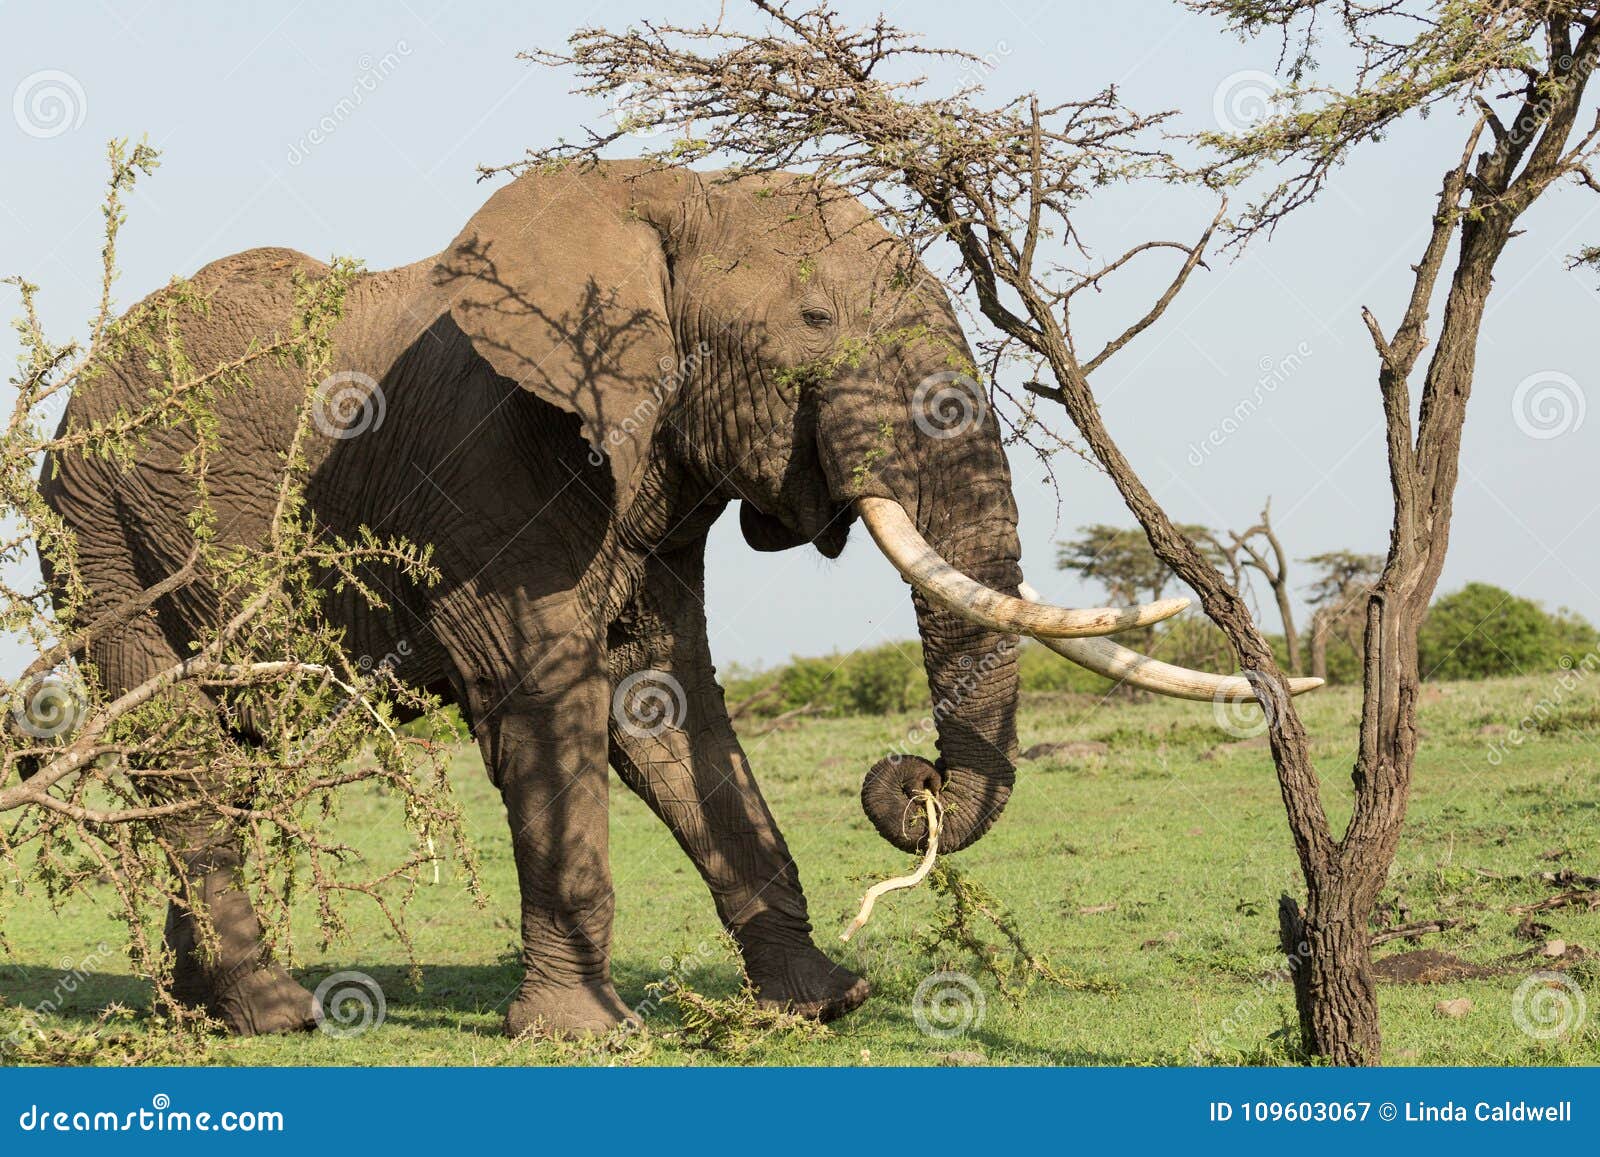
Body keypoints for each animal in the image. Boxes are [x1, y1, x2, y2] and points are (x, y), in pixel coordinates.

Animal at [36, 160, 1309, 1039]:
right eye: (814, 324)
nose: (907, 781)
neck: (669, 194)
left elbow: (659, 697)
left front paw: (824, 1001)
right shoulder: (491, 459)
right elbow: (541, 702)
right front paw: (583, 1035)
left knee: (229, 749)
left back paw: (204, 1012)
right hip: (93, 519)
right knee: (179, 737)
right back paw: (275, 1010)